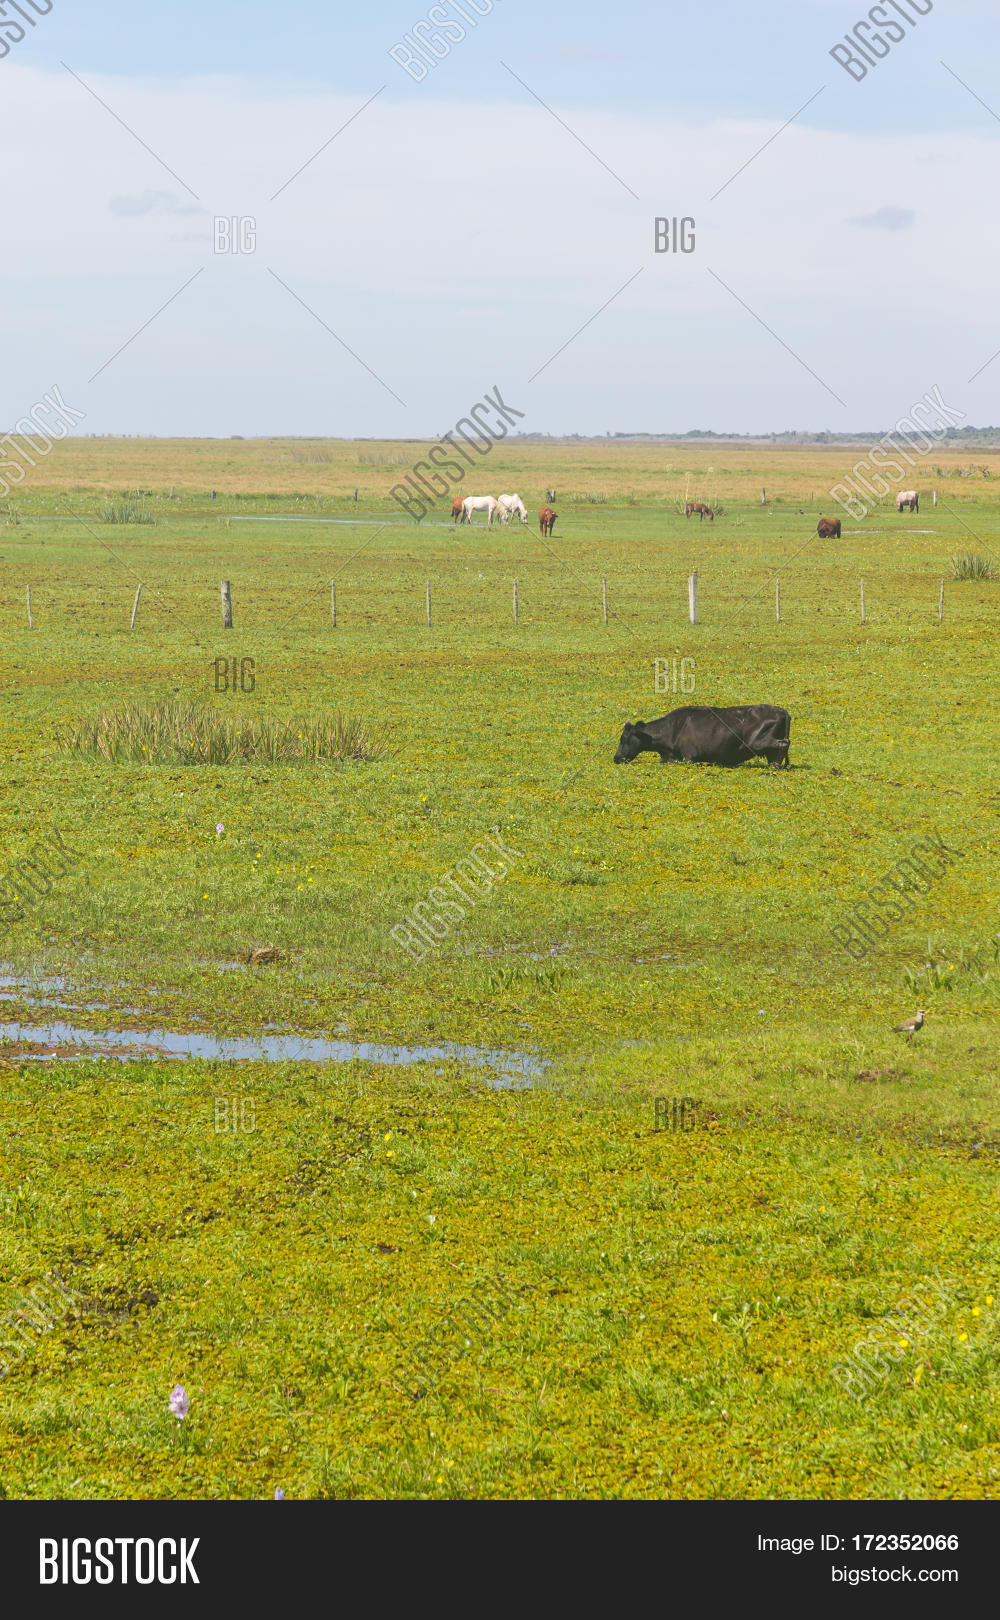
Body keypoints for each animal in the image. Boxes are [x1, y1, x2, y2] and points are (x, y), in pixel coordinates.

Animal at [613, 704, 791, 768]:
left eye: (624, 739)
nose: (616, 758)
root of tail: (781, 710)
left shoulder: (689, 757)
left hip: (757, 742)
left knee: (783, 744)